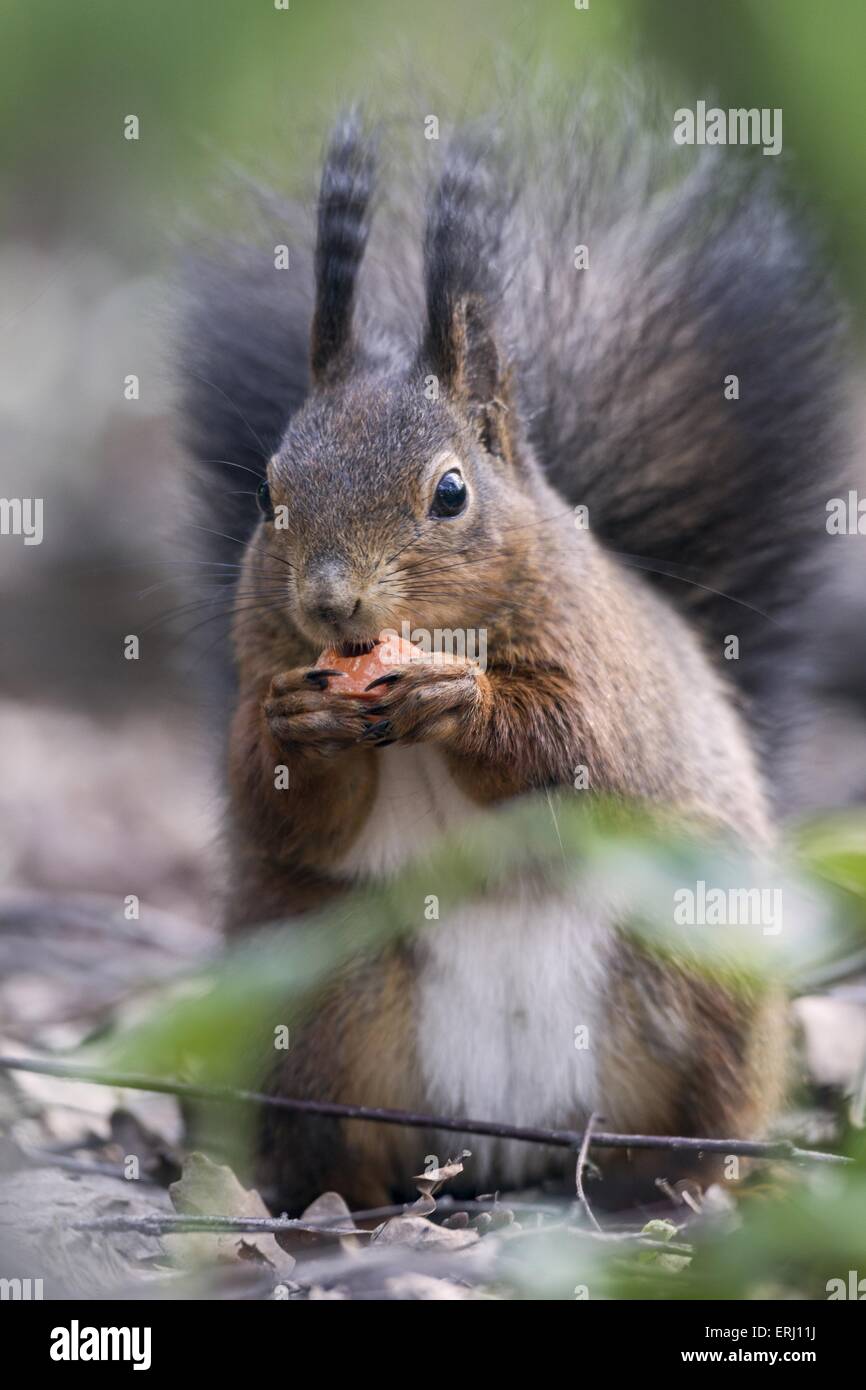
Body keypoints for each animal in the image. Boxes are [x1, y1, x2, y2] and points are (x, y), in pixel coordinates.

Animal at [178, 98, 846, 1211]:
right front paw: (299, 726)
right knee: (346, 1134)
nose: (329, 601)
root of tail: (510, 1146)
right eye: (269, 493)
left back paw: (681, 1184)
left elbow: (580, 749)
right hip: (324, 1001)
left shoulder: (605, 671)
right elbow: (282, 809)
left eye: (450, 491)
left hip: (696, 985)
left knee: (700, 1122)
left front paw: (462, 700)